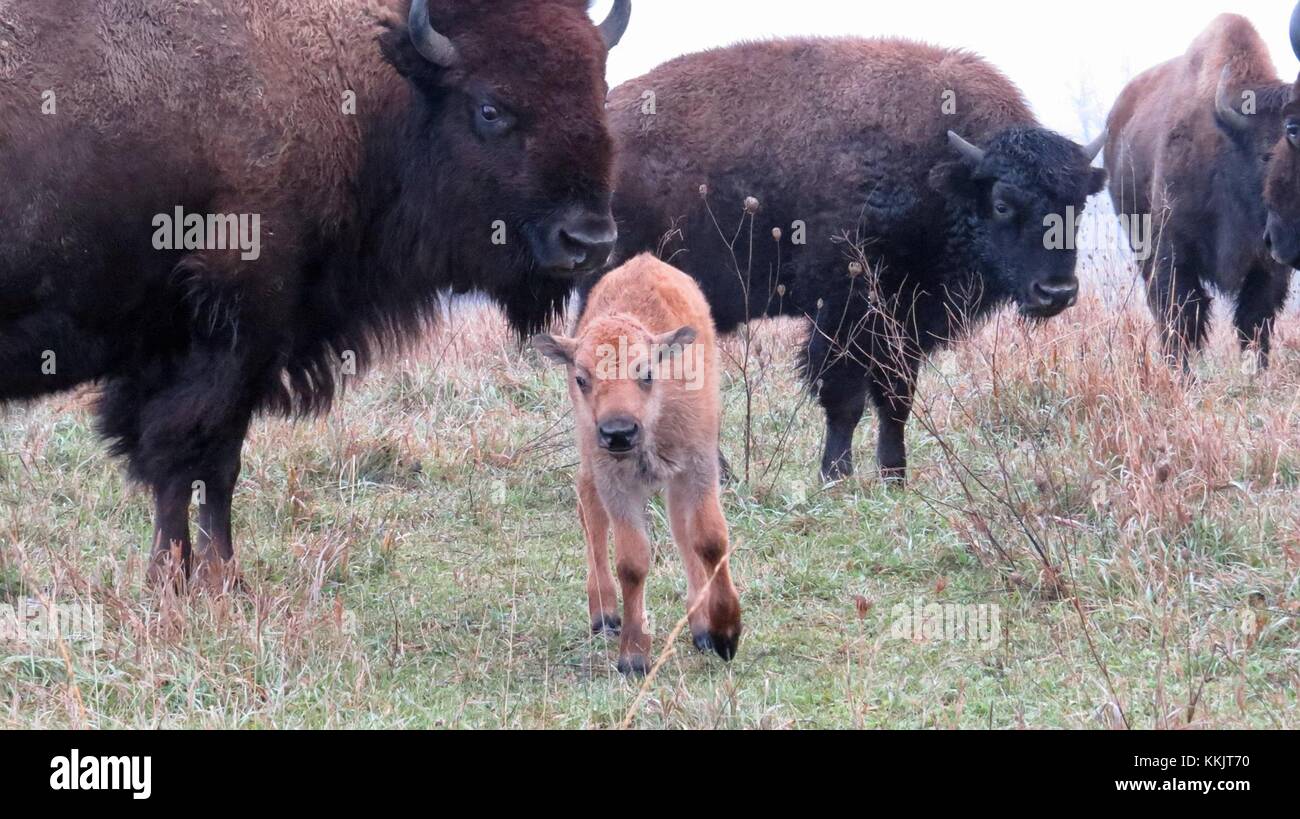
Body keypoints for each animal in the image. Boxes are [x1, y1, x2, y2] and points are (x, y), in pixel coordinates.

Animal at [0, 0, 632, 589]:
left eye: (598, 92)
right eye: (490, 108)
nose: (588, 240)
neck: (367, 86)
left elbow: (190, 462)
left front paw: (195, 578)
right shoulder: (234, 334)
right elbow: (201, 457)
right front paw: (202, 582)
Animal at [533, 254, 741, 675]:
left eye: (645, 372)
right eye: (581, 378)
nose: (618, 433)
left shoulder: (698, 468)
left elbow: (709, 540)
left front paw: (725, 634)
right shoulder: (616, 482)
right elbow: (632, 562)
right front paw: (632, 655)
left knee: (681, 531)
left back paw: (699, 628)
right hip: (591, 456)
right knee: (590, 512)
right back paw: (604, 615)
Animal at [600, 38, 1106, 483]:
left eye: (1078, 205)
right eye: (1002, 204)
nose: (1056, 292)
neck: (942, 174)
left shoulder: (905, 321)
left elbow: (896, 398)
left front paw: (894, 478)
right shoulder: (846, 315)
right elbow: (844, 398)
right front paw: (836, 477)